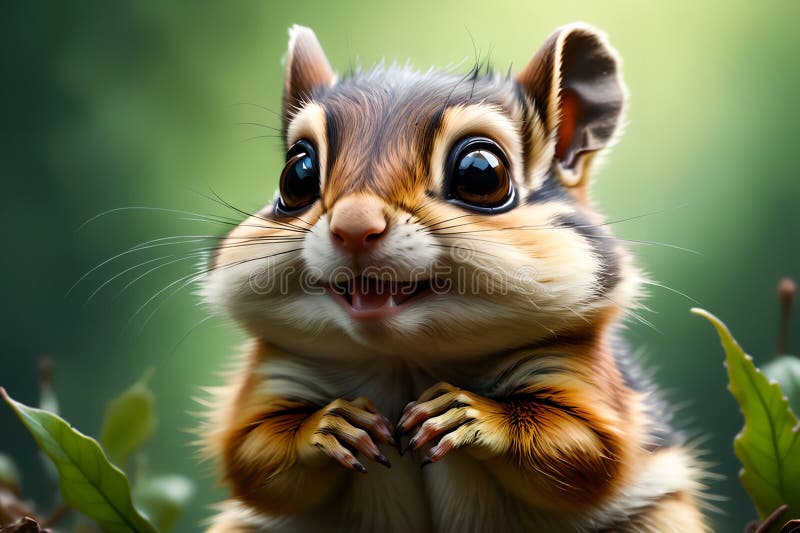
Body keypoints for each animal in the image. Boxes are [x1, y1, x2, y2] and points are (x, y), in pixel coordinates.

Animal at [200, 23, 709, 533]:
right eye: (297, 175)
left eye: (481, 173)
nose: (354, 226)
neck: (404, 358)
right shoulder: (273, 375)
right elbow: (252, 455)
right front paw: (328, 426)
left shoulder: (586, 375)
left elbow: (583, 448)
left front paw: (473, 416)